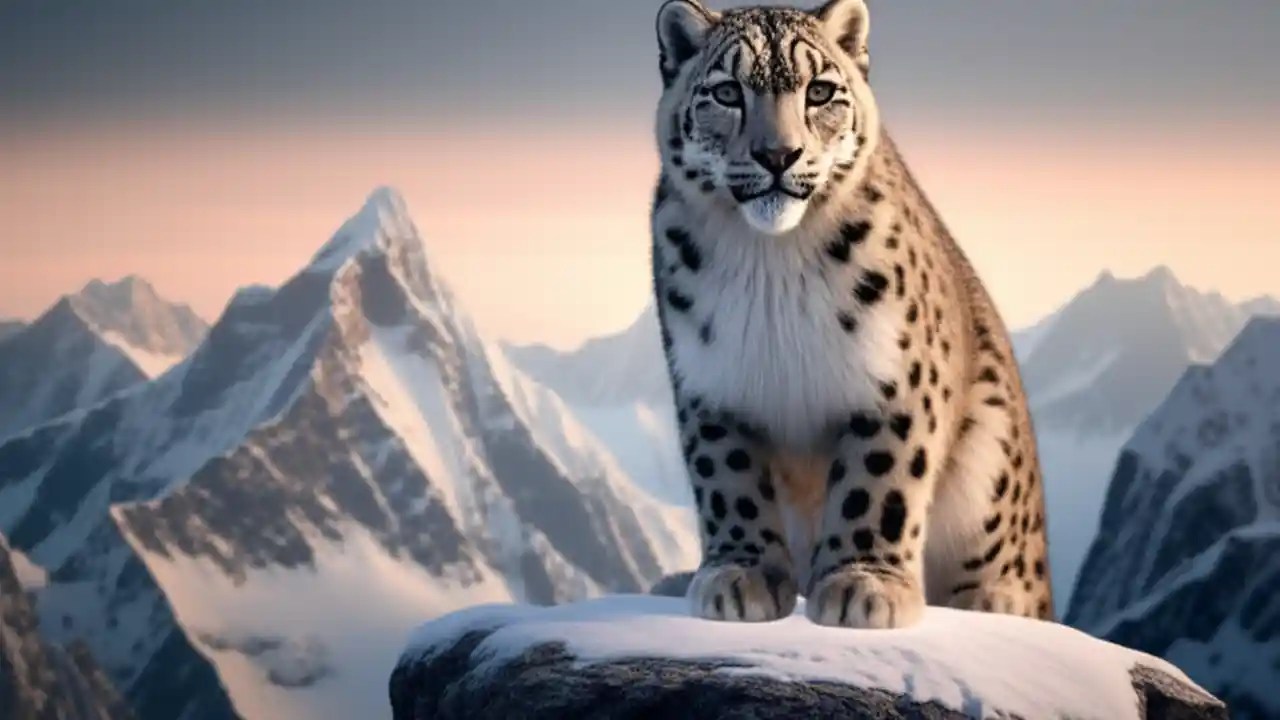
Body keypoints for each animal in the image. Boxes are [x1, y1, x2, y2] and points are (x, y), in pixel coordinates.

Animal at [649, 0, 1053, 629]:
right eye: (726, 92)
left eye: (819, 91)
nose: (777, 155)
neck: (771, 262)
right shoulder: (710, 383)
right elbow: (728, 479)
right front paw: (739, 577)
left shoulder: (896, 376)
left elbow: (878, 481)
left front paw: (862, 587)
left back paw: (993, 602)